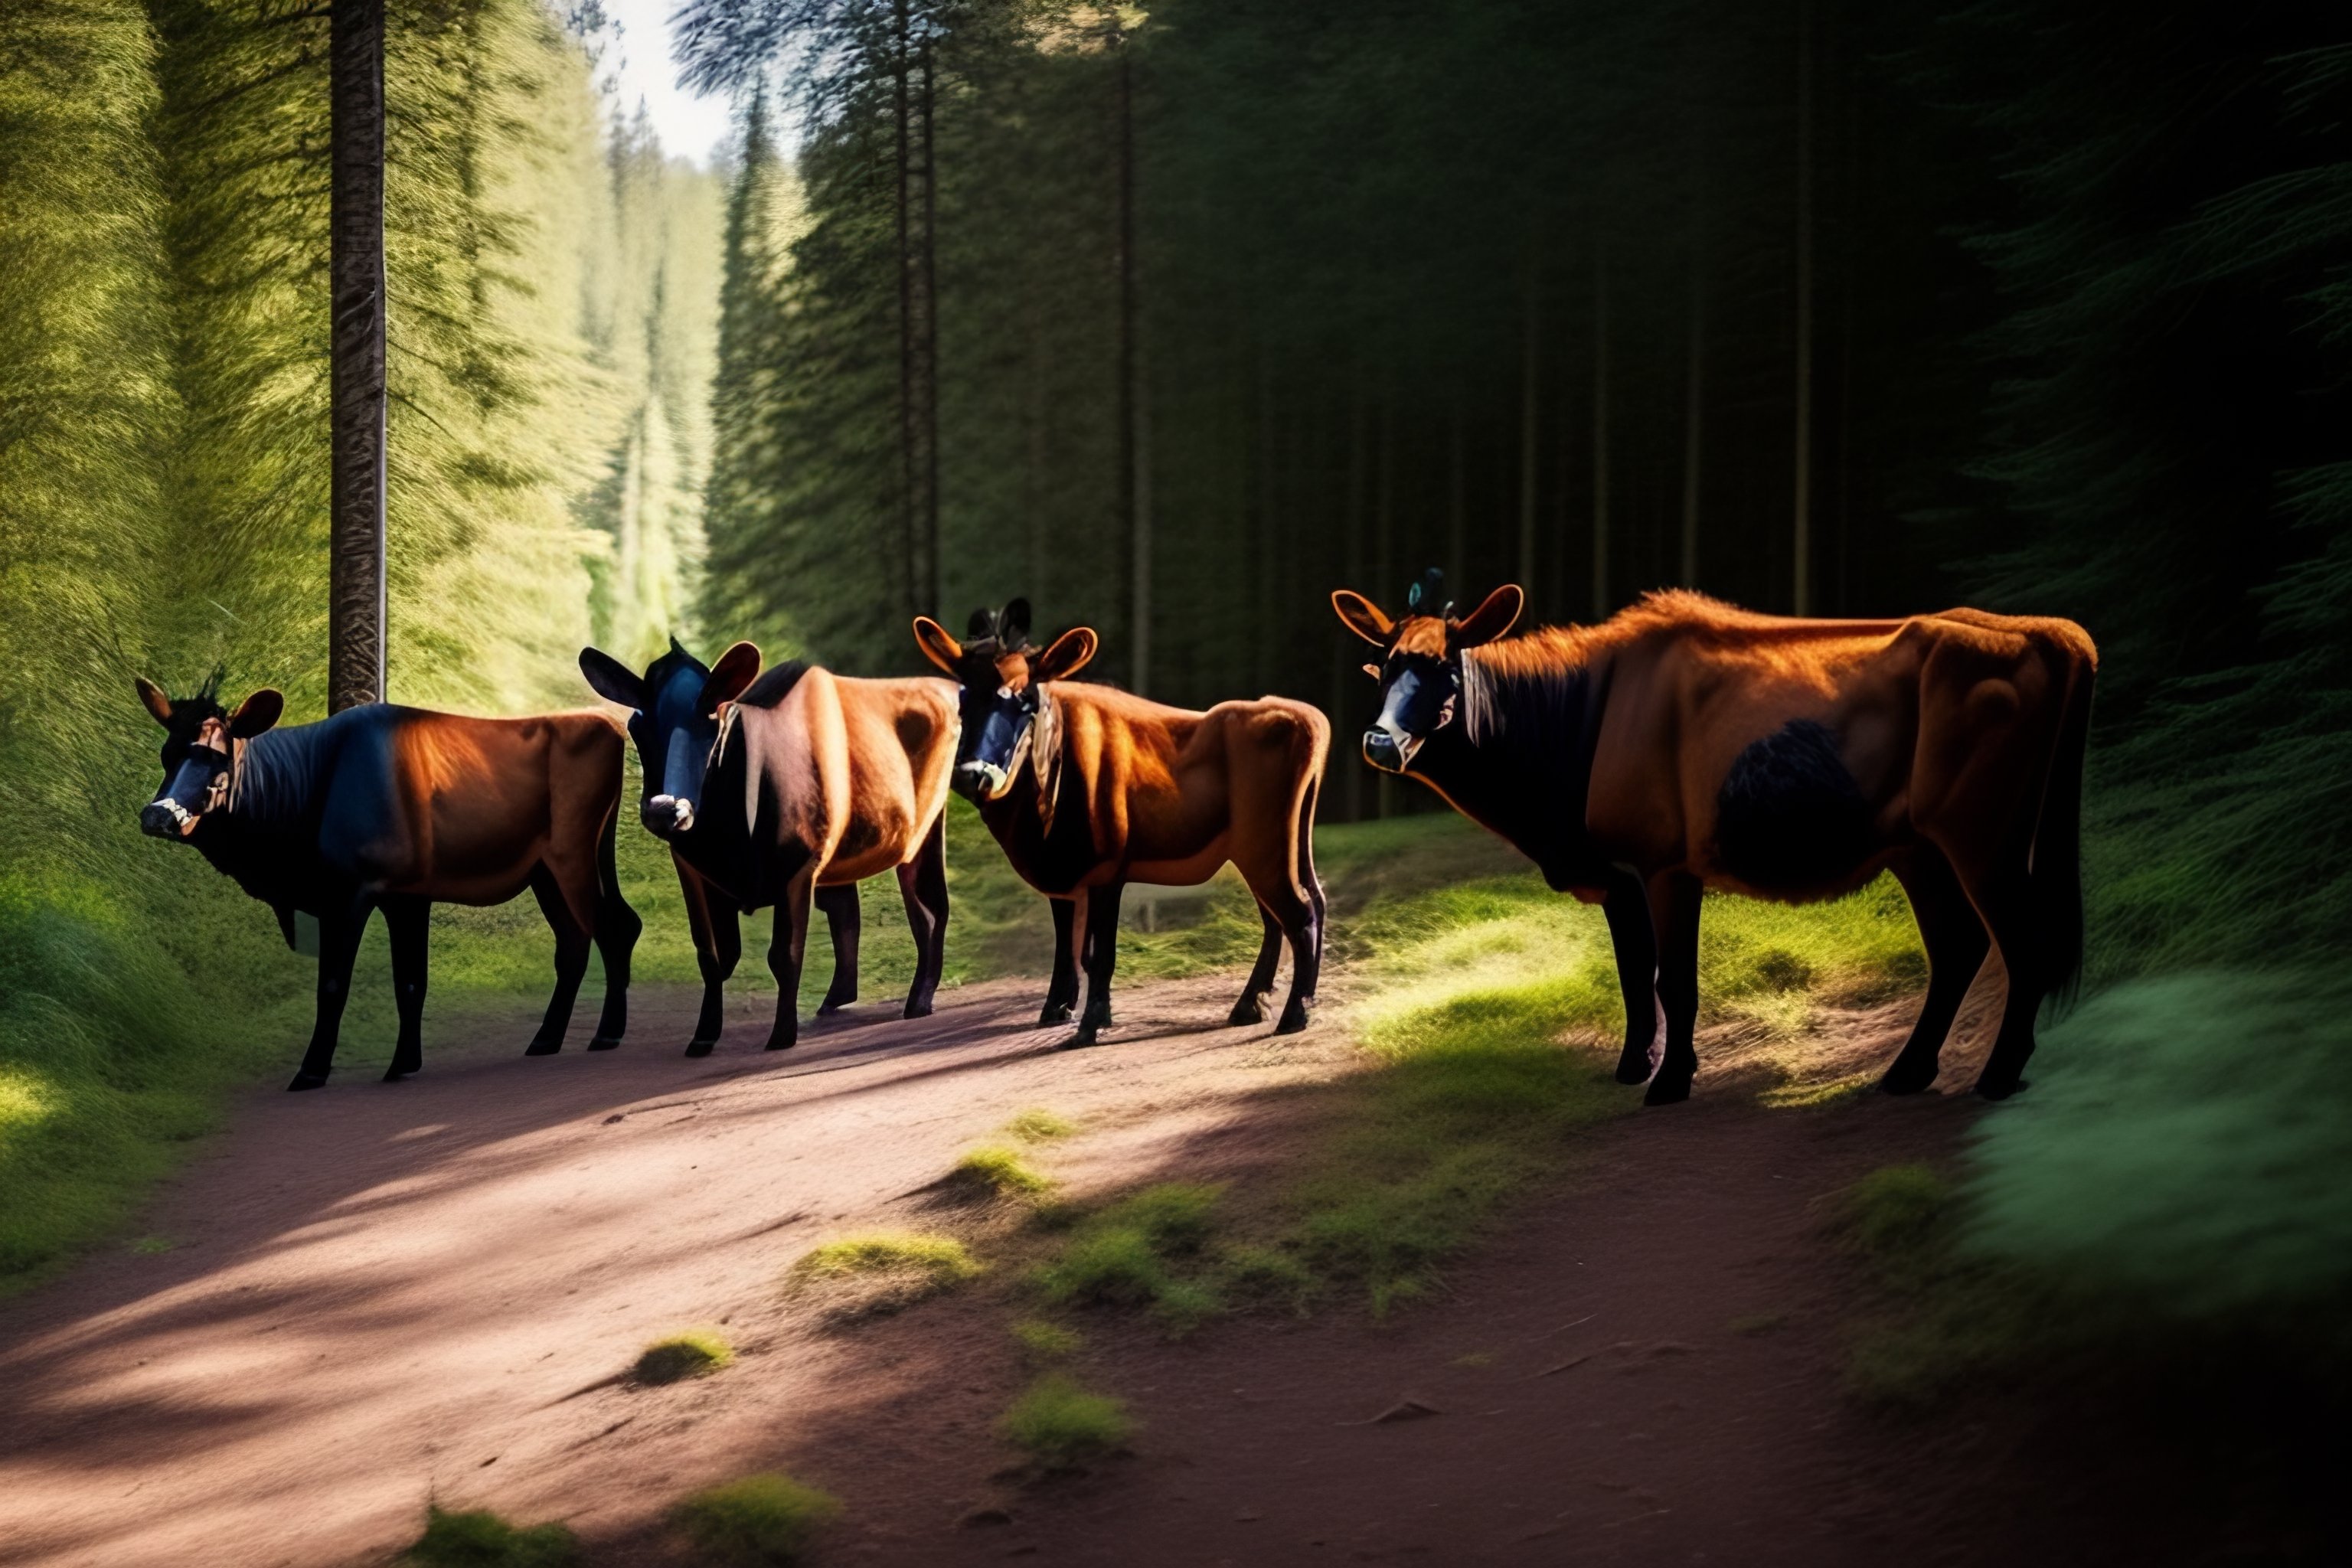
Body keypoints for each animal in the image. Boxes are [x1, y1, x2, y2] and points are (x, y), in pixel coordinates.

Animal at [133, 671, 640, 1090]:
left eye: (219, 761)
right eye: (166, 754)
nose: (158, 815)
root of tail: (604, 724)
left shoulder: (349, 895)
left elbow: (334, 985)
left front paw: (312, 1071)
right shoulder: (407, 896)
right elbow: (411, 982)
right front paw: (404, 1064)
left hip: (573, 854)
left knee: (613, 927)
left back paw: (608, 1034)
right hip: (546, 870)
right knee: (576, 940)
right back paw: (545, 1039)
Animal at [577, 639, 957, 1052]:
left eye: (712, 717)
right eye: (636, 725)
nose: (664, 809)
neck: (729, 844)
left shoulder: (798, 868)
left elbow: (785, 955)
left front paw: (782, 1035)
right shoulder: (691, 871)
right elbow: (711, 957)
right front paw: (704, 1037)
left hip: (924, 831)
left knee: (929, 909)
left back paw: (918, 1001)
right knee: (845, 910)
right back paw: (836, 1000)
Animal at [911, 601, 1330, 1046]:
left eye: (1026, 700)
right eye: (962, 702)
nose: (972, 775)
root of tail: (1300, 714)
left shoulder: (1106, 870)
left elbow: (1098, 954)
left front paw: (1091, 1023)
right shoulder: (1062, 869)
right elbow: (1068, 944)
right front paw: (1057, 1009)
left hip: (1263, 847)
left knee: (1299, 913)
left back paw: (1294, 1014)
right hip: (1276, 847)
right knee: (1299, 907)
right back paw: (1251, 1004)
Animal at [1331, 571, 2097, 1104]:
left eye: (1443, 670)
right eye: (1384, 666)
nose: (1380, 741)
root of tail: (2047, 632)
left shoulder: (1666, 864)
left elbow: (1674, 980)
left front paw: (1670, 1081)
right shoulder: (1618, 872)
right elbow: (1634, 972)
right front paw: (1634, 1065)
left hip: (1984, 835)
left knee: (2022, 944)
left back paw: (1997, 1074)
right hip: (1919, 848)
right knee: (1959, 946)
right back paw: (1908, 1071)